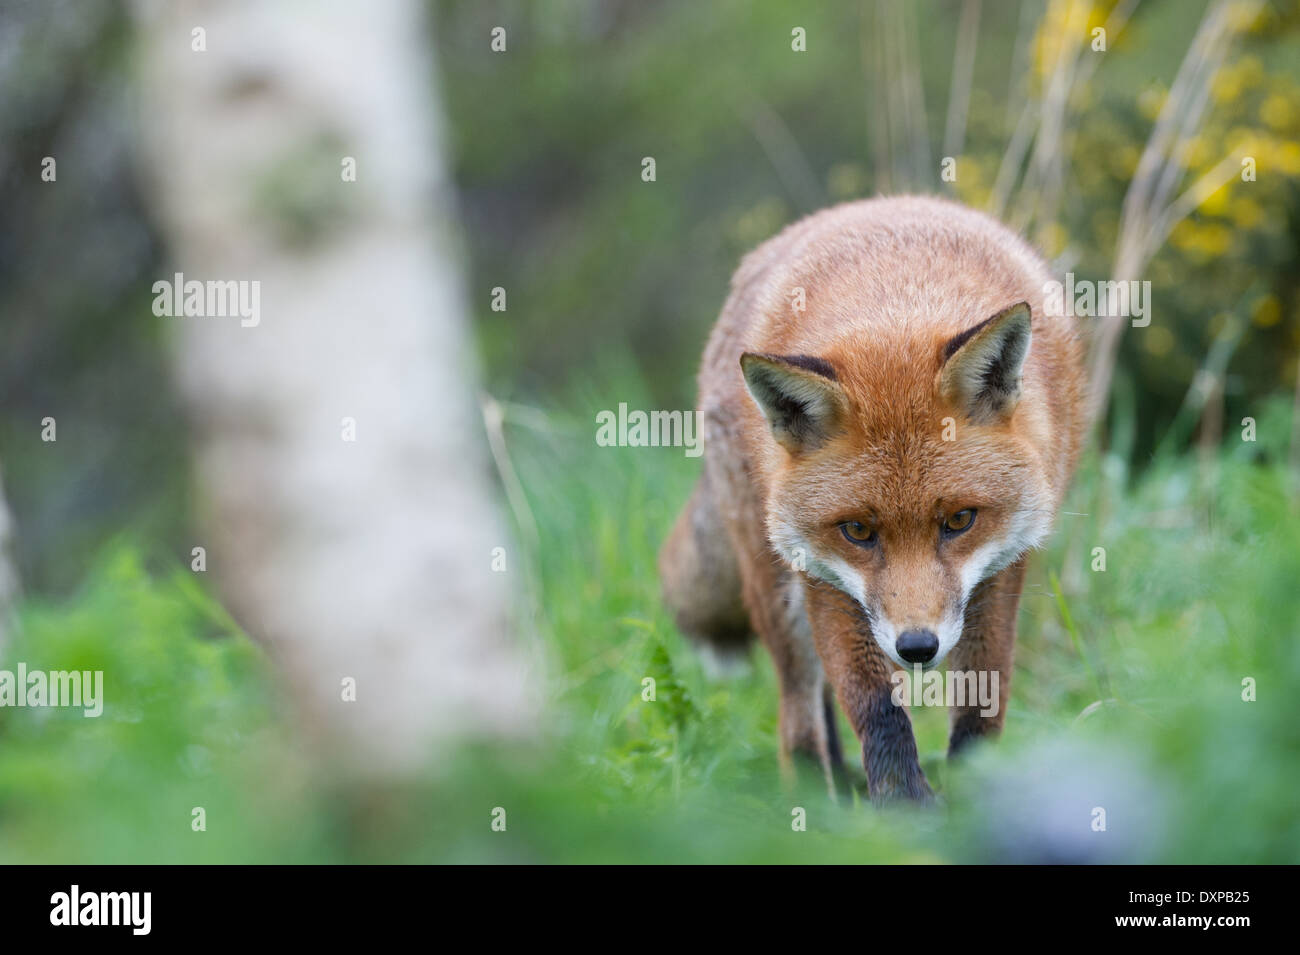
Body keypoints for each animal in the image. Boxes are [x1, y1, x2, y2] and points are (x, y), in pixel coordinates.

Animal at [659, 195, 1085, 802]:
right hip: (773, 582)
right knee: (798, 717)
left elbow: (981, 707)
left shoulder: (1003, 563)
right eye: (858, 531)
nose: (917, 647)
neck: (895, 297)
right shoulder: (822, 573)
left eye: (960, 520)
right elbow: (874, 706)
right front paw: (905, 808)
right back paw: (815, 801)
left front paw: (971, 795)